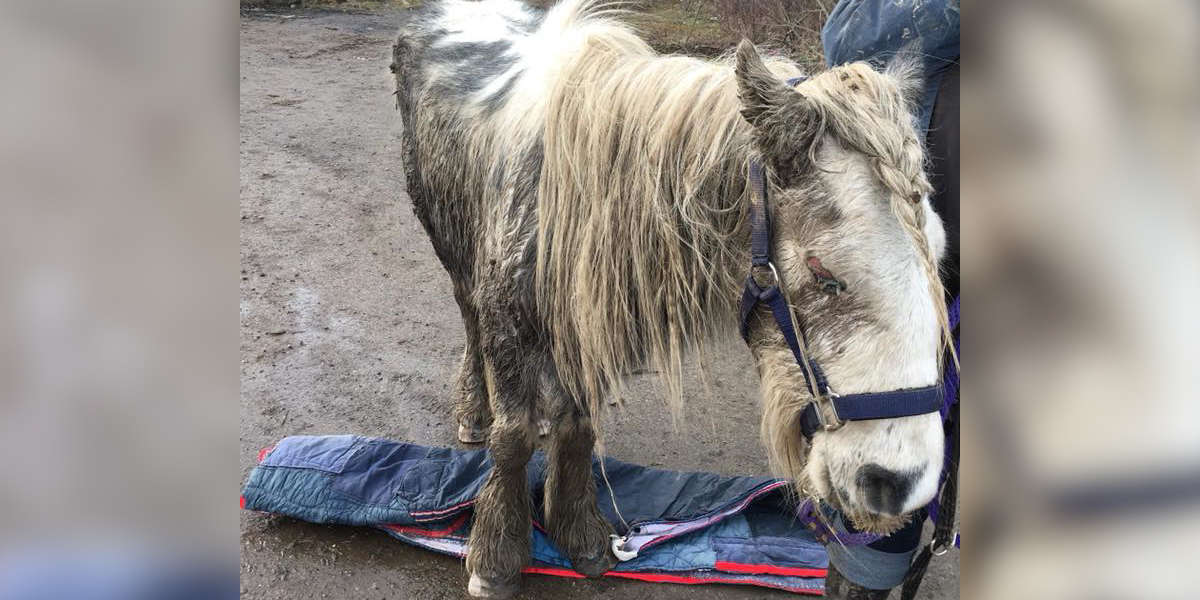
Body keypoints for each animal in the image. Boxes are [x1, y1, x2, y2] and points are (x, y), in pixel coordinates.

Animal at [390, 1, 953, 597]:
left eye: (939, 254)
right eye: (824, 272)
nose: (898, 483)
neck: (576, 190)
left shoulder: (586, 327)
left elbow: (577, 424)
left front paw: (580, 535)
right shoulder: (507, 313)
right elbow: (513, 436)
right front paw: (496, 557)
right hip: (452, 248)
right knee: (468, 318)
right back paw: (474, 410)